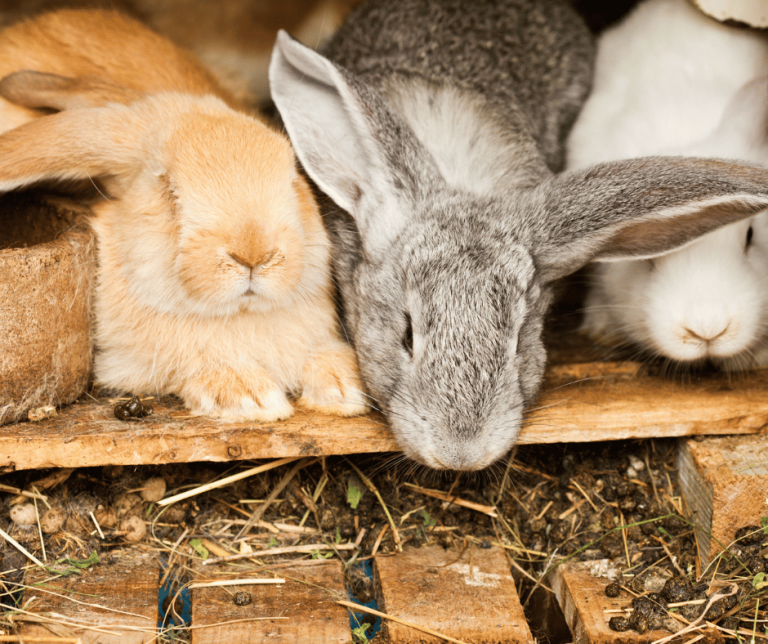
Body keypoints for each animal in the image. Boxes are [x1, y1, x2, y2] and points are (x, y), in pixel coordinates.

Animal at [0, 8, 368, 421]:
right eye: (168, 189)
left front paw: (344, 388)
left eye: (294, 178)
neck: (240, 314)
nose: (253, 254)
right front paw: (251, 398)